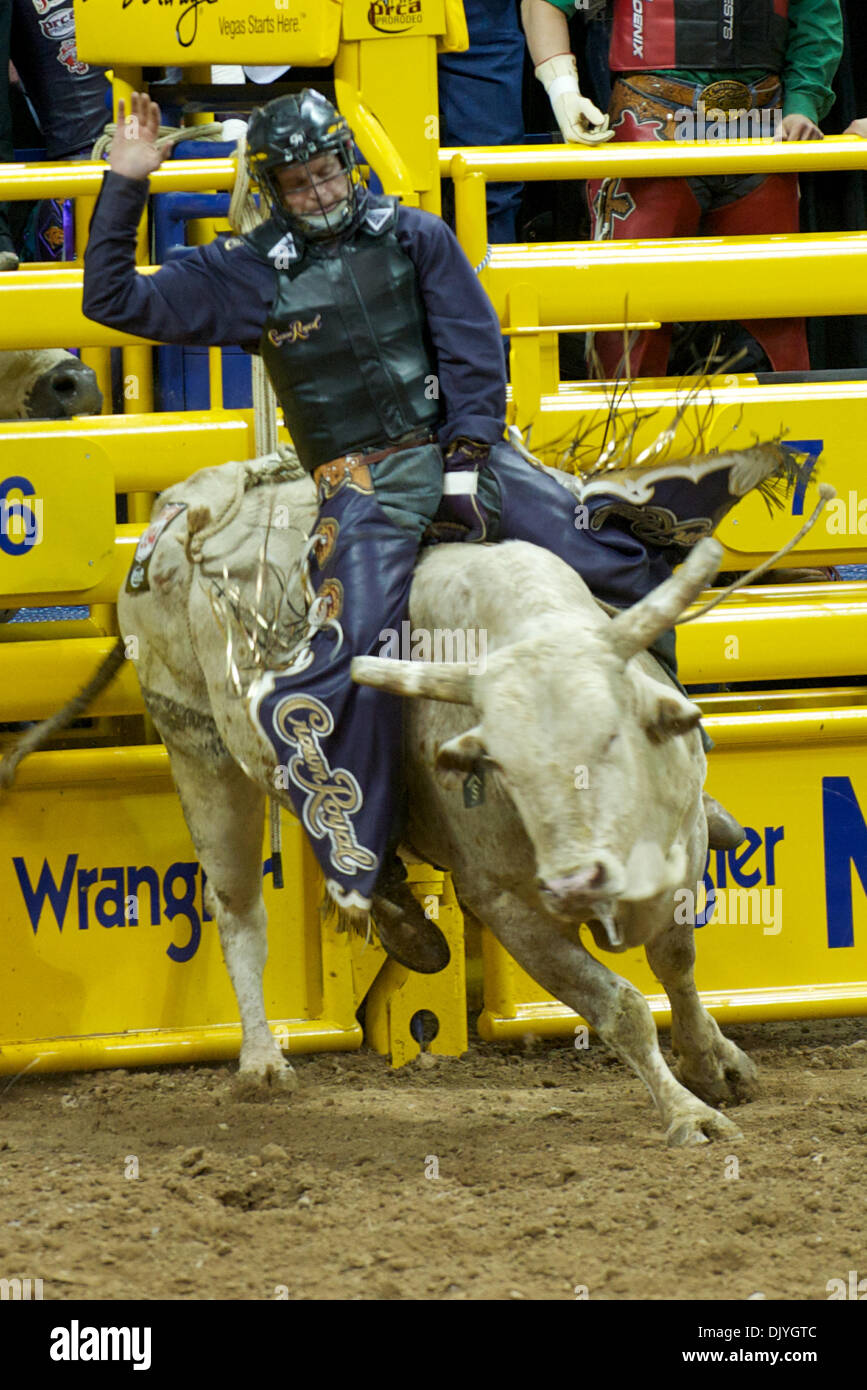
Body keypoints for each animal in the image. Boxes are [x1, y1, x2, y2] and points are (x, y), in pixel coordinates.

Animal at [0, 447, 763, 1145]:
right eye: (501, 765)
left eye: (610, 737)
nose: (577, 881)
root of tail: (190, 497)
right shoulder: (506, 904)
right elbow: (617, 1004)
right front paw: (689, 1114)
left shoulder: (684, 845)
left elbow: (675, 964)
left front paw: (715, 1060)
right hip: (198, 749)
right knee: (238, 910)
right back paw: (262, 1060)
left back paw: (402, 922)